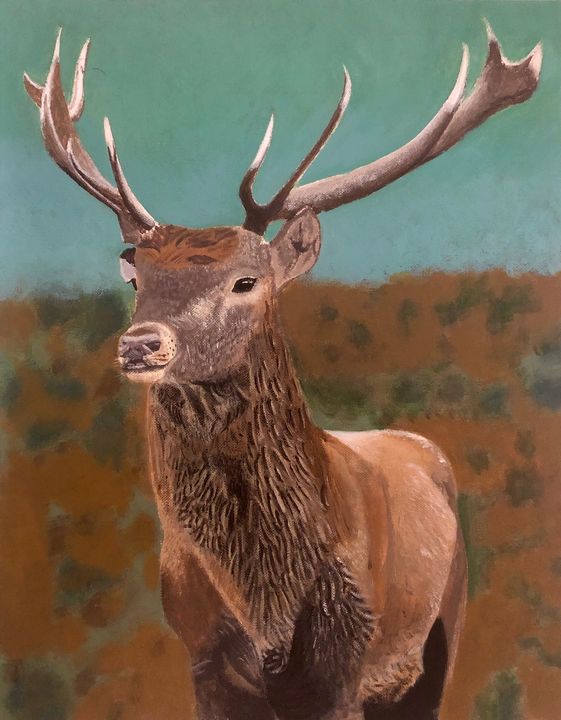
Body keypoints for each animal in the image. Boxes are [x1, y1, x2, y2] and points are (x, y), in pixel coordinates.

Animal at [25, 24, 541, 720]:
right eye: (137, 277)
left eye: (246, 281)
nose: (140, 343)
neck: (267, 608)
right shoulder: (203, 654)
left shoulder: (347, 657)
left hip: (444, 627)